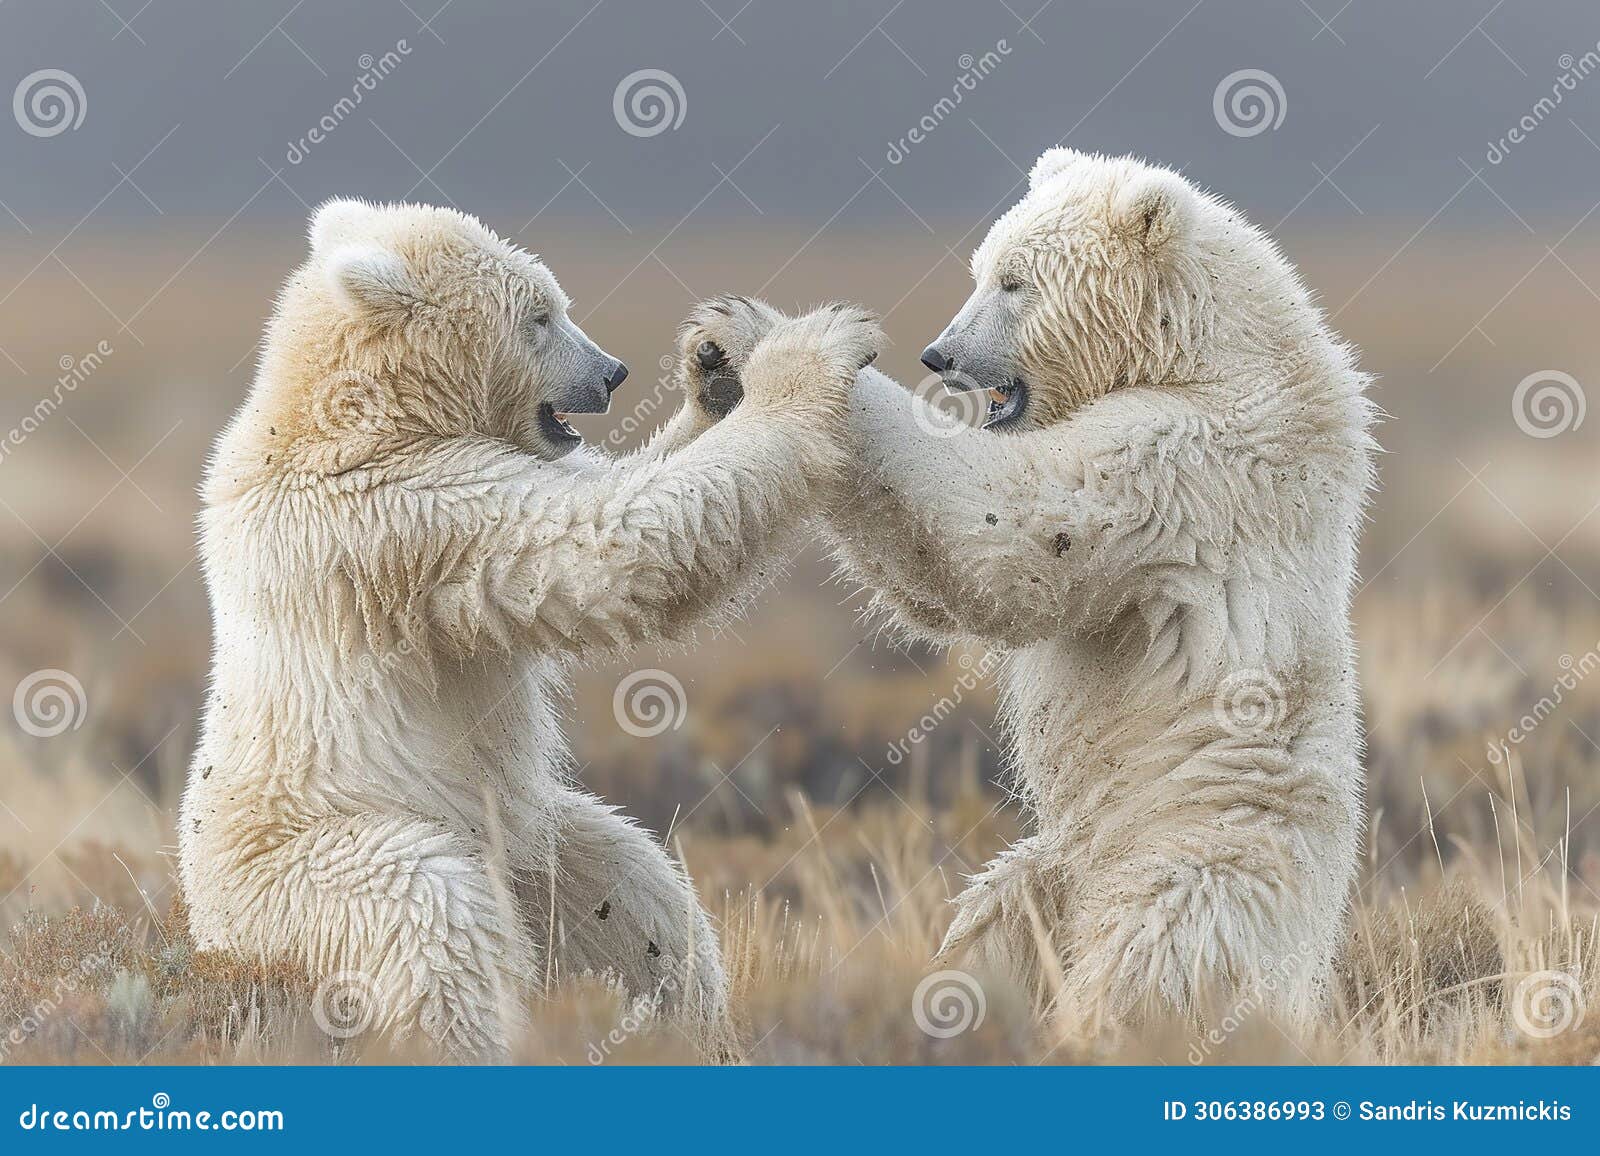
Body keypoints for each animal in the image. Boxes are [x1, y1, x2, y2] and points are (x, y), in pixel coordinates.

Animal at [177, 198, 884, 1058]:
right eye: (540, 316)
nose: (612, 373)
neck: (341, 415)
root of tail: (215, 939)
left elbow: (619, 484)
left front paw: (716, 360)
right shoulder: (406, 510)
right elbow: (613, 540)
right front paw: (814, 351)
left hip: (533, 844)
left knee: (635, 897)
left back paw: (694, 1031)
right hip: (325, 869)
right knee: (435, 921)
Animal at [688, 150, 1377, 1036]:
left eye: (1015, 283)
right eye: (981, 270)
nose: (939, 356)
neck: (1217, 350)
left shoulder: (1192, 458)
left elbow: (1014, 531)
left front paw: (763, 334)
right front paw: (714, 362)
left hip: (1196, 855)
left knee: (1153, 960)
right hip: (1058, 864)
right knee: (997, 923)